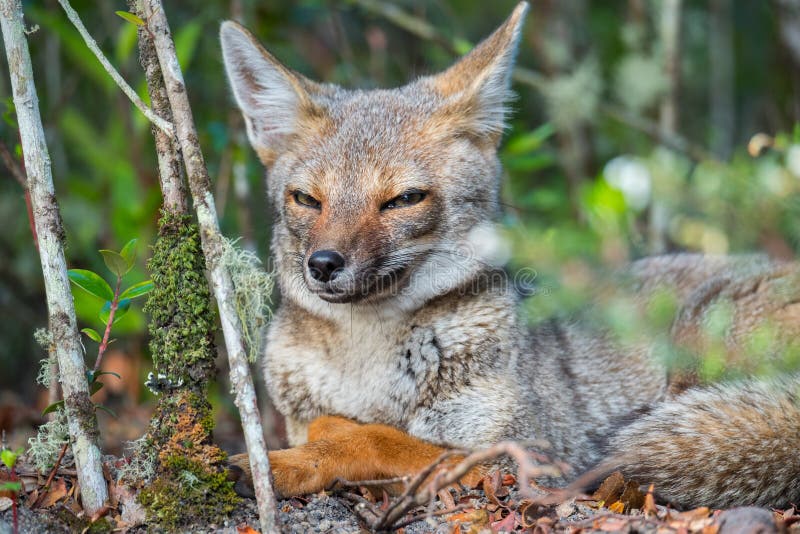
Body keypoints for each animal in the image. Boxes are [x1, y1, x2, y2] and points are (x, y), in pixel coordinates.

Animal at [219, 2, 800, 510]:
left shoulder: (528, 457)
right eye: (306, 199)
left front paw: (291, 458)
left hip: (701, 337)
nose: (323, 264)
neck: (366, 368)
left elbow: (376, 439)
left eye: (403, 199)